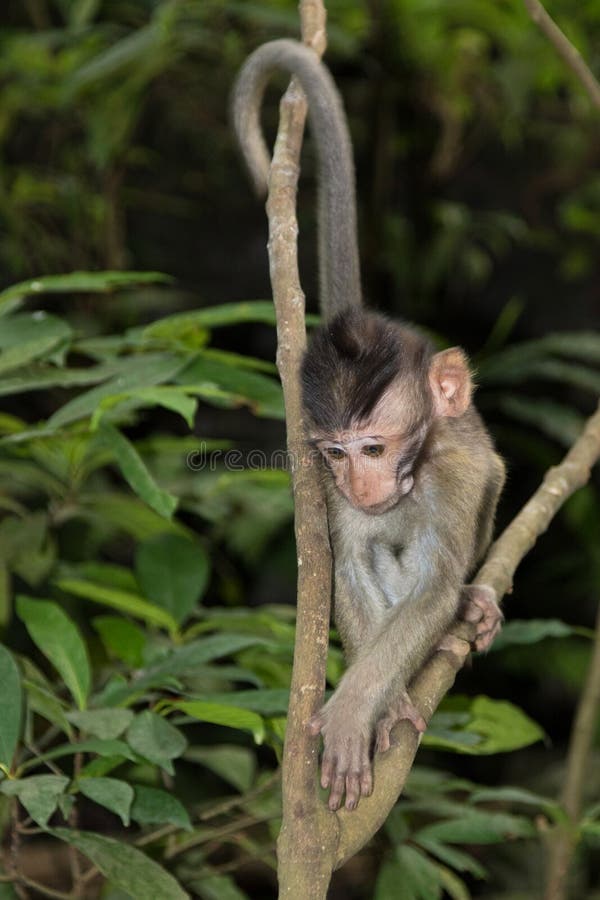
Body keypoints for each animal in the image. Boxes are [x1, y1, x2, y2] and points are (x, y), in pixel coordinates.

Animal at [232, 39, 505, 812]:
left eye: (376, 447)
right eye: (336, 453)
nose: (359, 483)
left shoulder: (448, 475)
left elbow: (435, 584)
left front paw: (356, 708)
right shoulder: (321, 482)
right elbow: (351, 562)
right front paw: (379, 706)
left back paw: (472, 603)